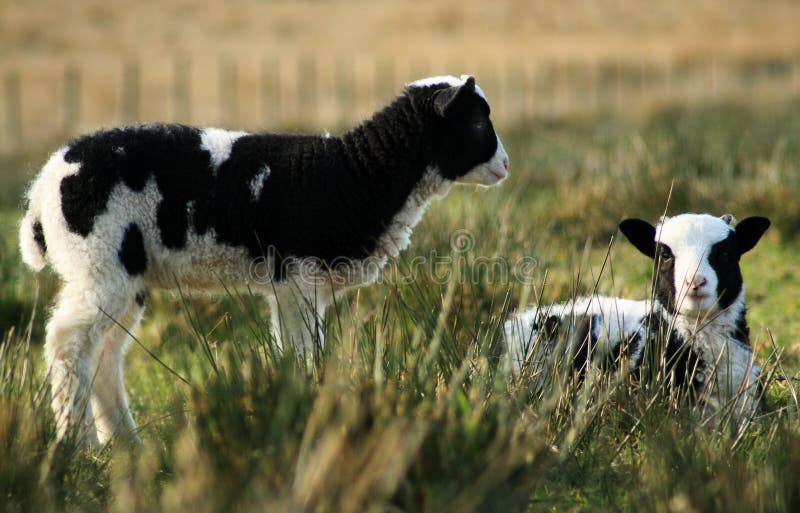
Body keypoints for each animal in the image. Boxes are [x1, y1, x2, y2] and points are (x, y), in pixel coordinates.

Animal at [19, 75, 510, 445]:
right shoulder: (300, 277)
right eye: (477, 122)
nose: (506, 165)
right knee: (68, 343)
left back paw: (126, 447)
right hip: (99, 260)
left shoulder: (290, 286)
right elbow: (307, 351)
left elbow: (293, 351)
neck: (354, 174)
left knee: (104, 354)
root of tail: (44, 186)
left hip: (124, 273)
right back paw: (78, 444)